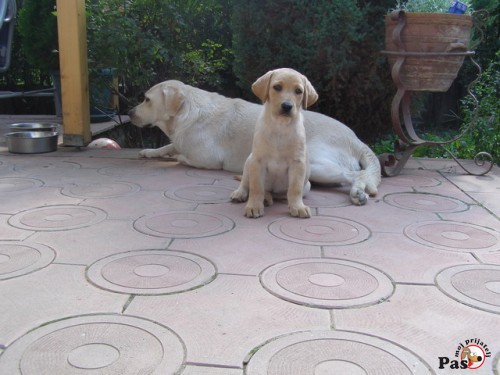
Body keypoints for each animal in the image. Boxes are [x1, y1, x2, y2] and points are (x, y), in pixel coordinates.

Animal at [229, 69, 316, 219]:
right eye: (277, 87)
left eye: (298, 91)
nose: (287, 106)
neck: (280, 126)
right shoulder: (257, 161)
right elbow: (256, 187)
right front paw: (254, 206)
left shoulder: (298, 163)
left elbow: (295, 189)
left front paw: (297, 207)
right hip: (249, 161)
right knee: (246, 183)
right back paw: (241, 194)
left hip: (307, 185)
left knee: (279, 194)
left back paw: (270, 198)